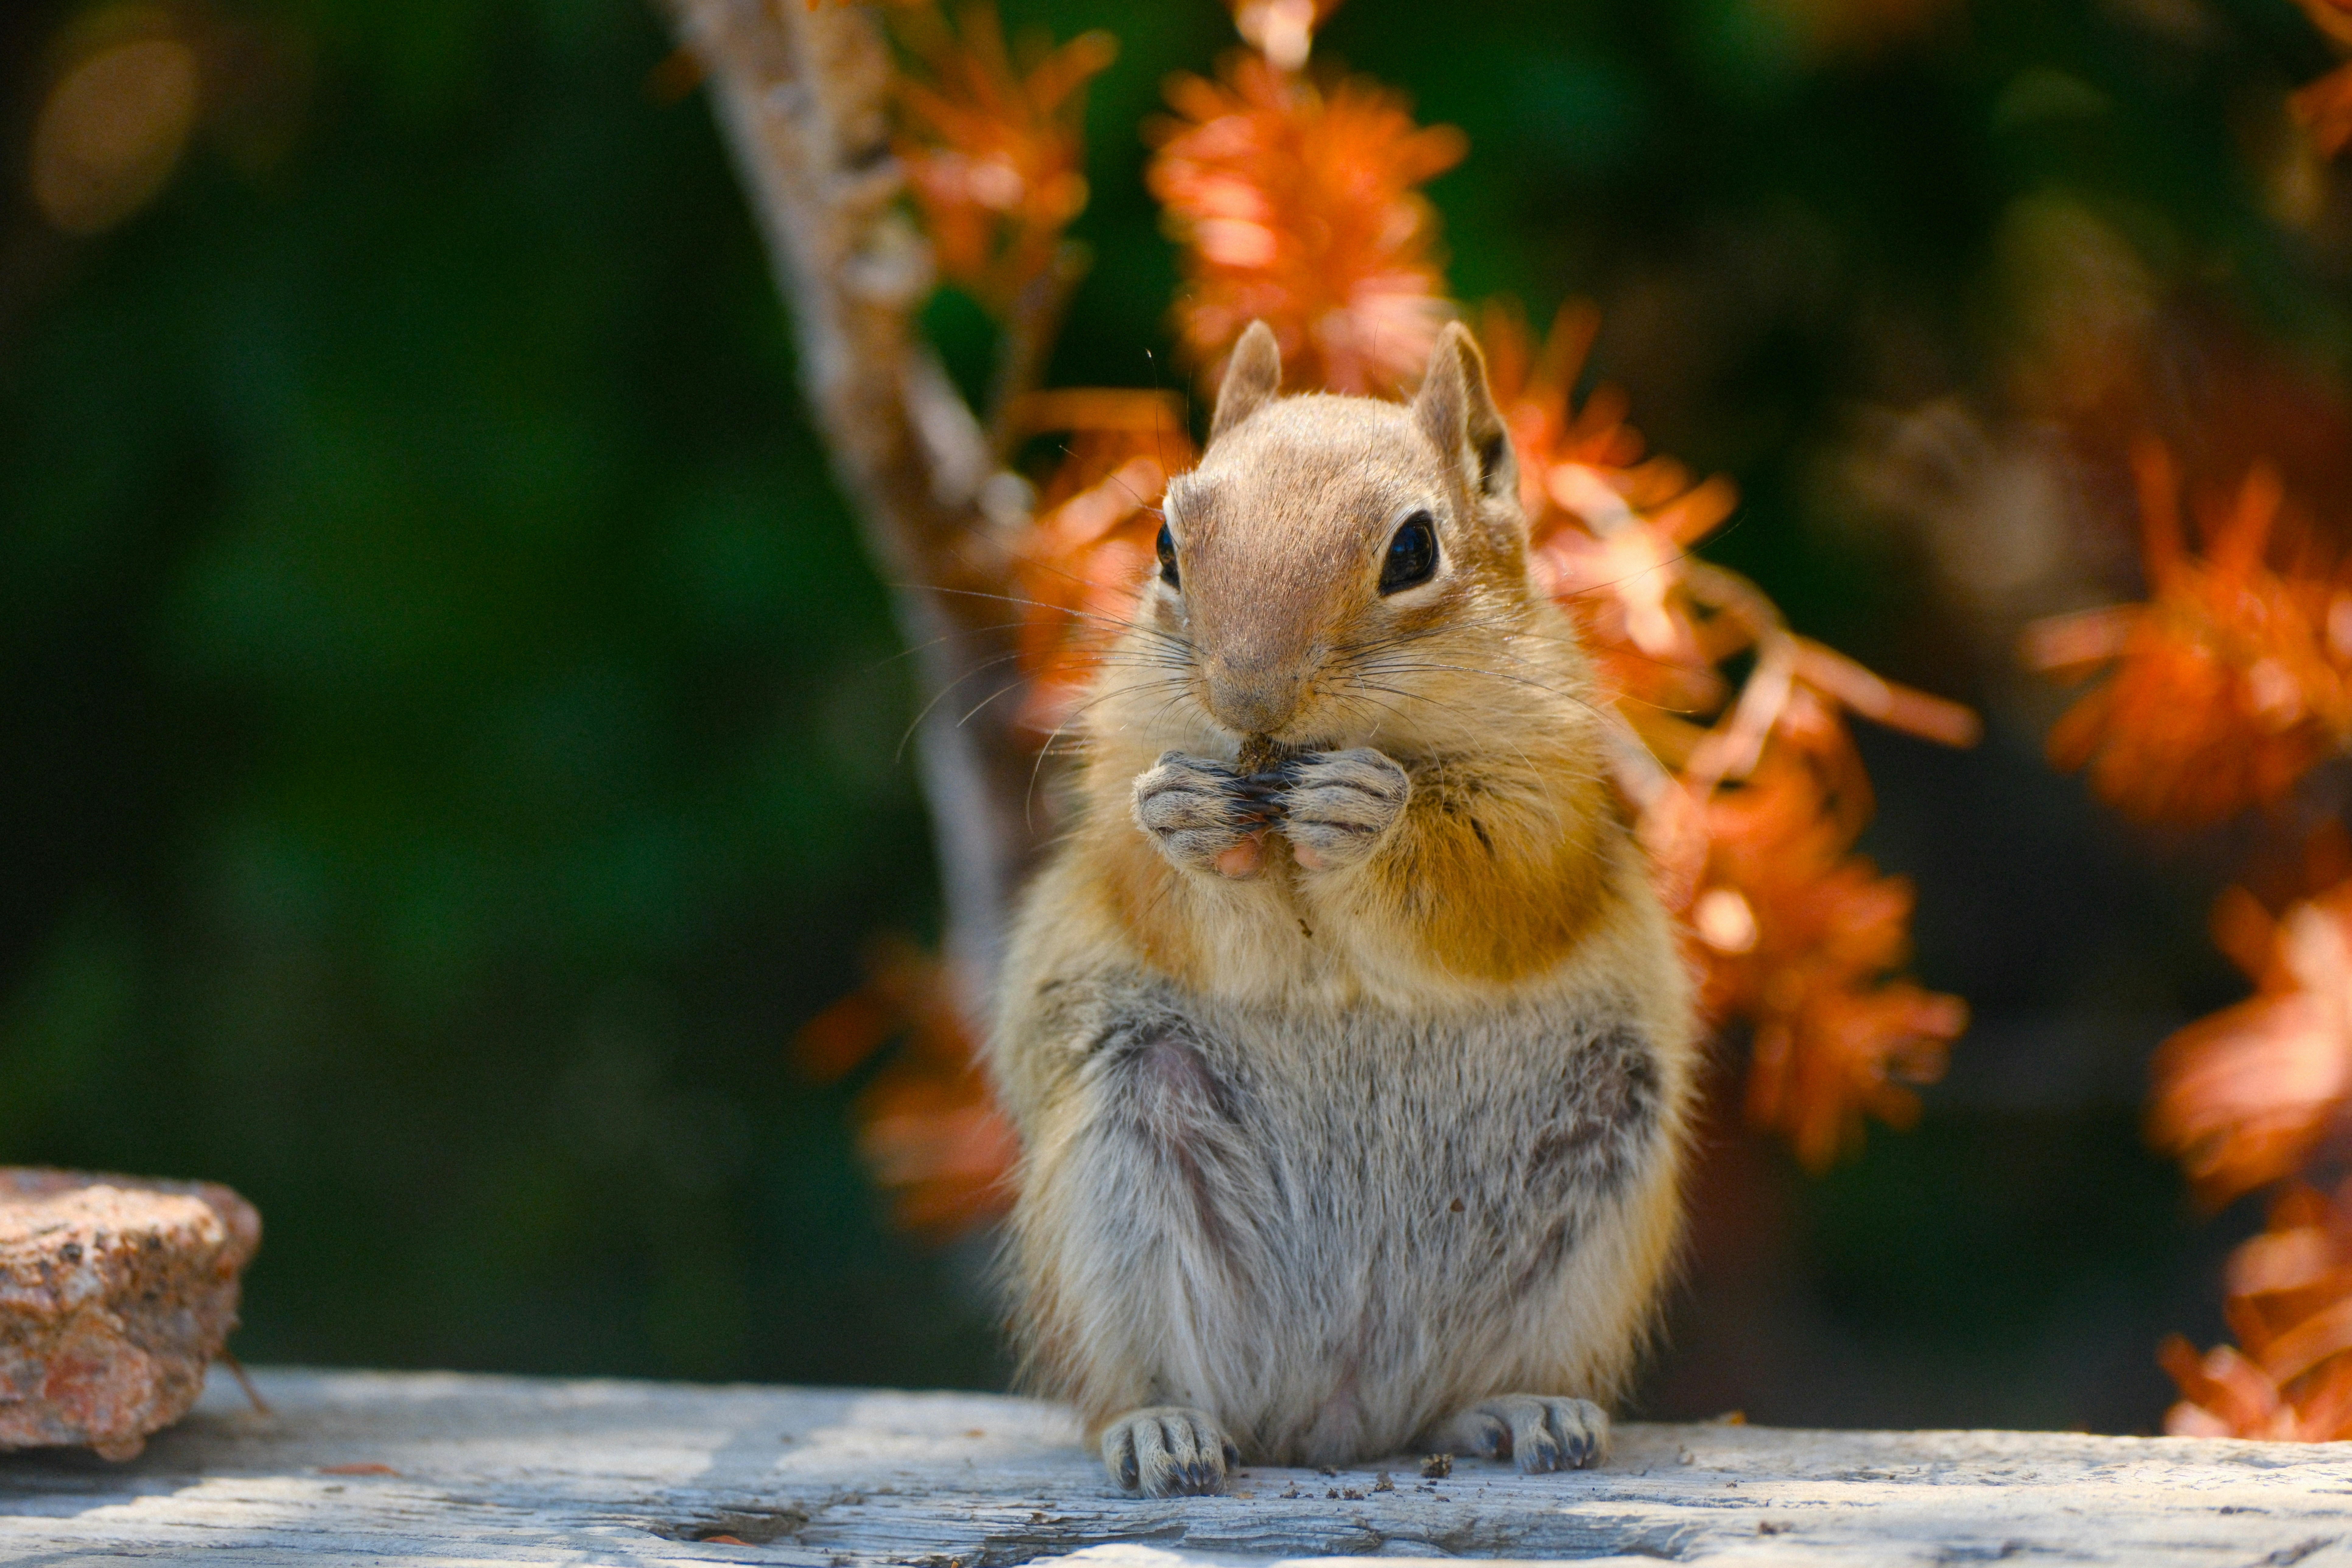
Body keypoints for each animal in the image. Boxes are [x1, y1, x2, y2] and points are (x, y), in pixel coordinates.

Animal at [988, 318, 1699, 1497]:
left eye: (1411, 552)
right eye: (1165, 544)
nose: (1247, 697)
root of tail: (1339, 1412)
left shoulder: (1551, 797)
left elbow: (1492, 886)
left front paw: (1367, 816)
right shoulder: (1118, 775)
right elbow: (1159, 889)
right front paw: (1191, 826)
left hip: (1600, 1169)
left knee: (1471, 1391)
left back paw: (1523, 1409)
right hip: (1120, 1160)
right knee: (1135, 1388)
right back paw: (1163, 1429)